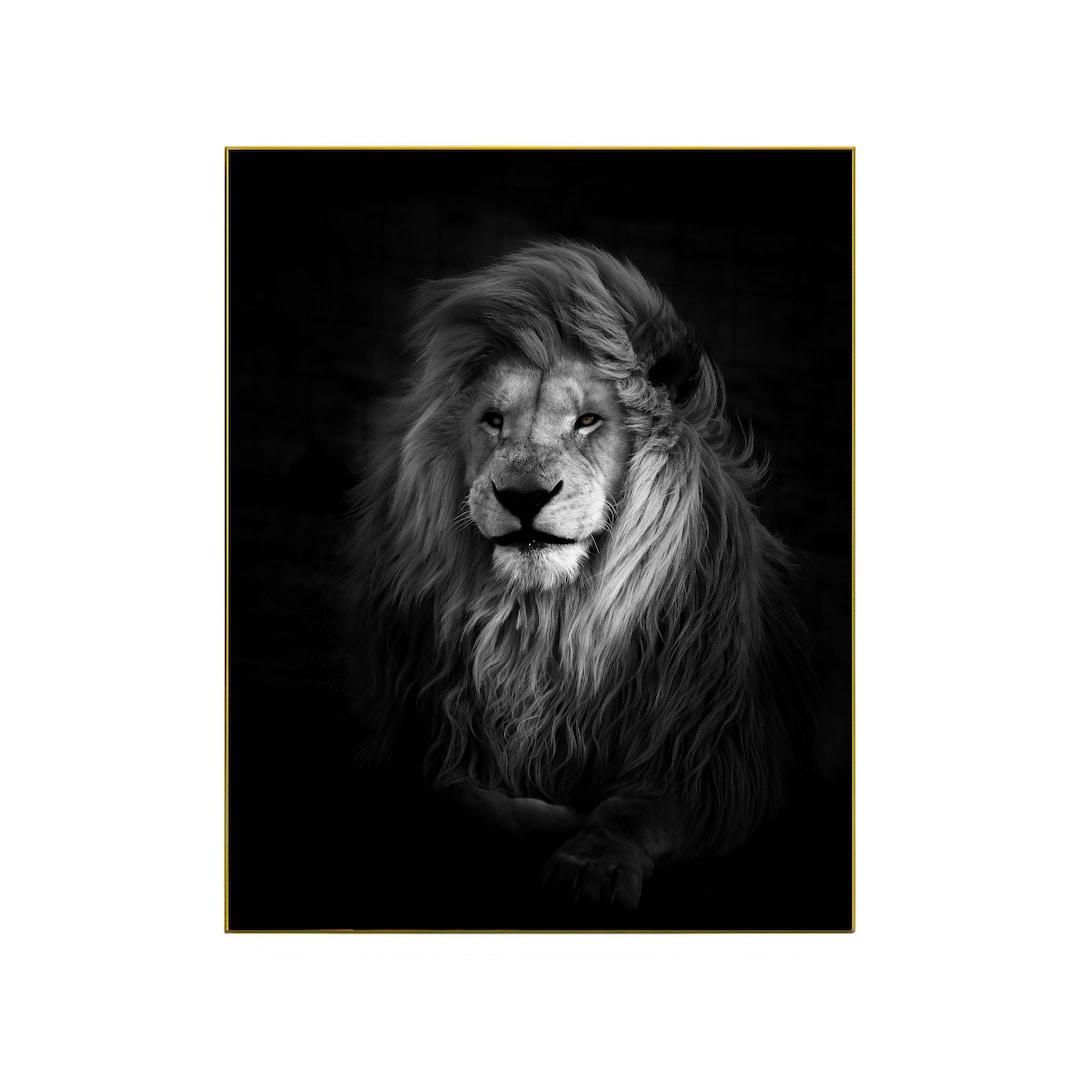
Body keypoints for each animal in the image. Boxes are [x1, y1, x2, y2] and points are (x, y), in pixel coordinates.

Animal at [344, 240, 836, 911]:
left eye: (587, 422)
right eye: (493, 420)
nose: (523, 496)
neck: (548, 622)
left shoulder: (720, 758)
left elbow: (632, 809)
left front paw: (590, 863)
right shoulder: (422, 731)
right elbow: (456, 794)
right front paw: (543, 820)